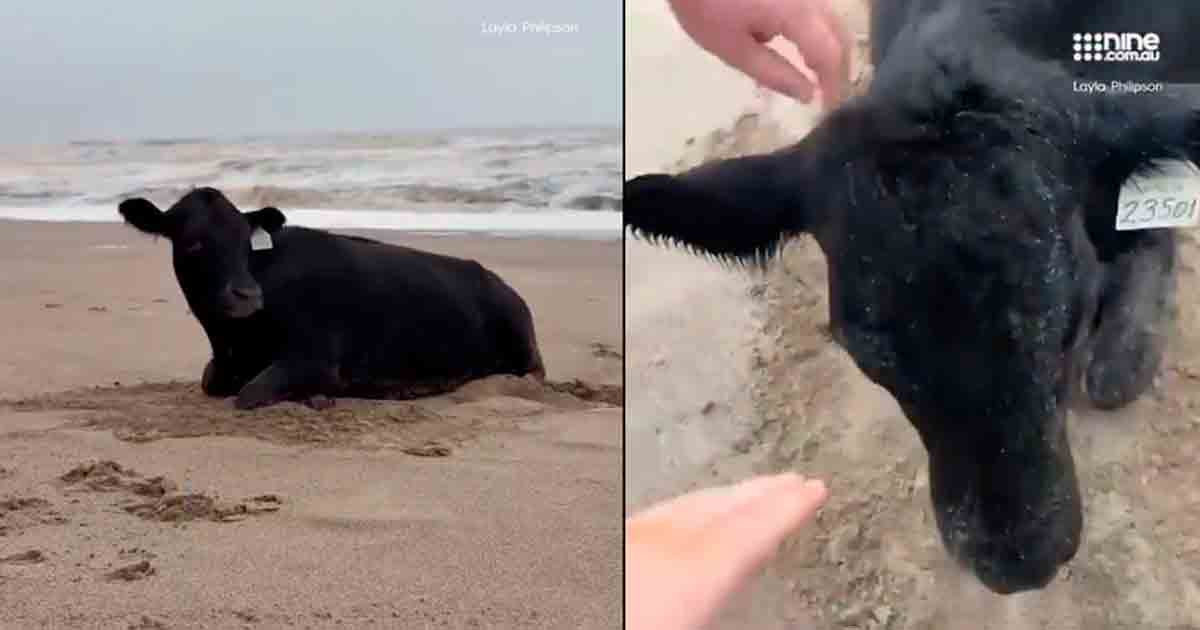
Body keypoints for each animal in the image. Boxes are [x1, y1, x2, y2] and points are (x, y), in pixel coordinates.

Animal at [119, 187, 546, 411]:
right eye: (192, 243)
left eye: (245, 241)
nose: (247, 294)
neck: (233, 340)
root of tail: (497, 280)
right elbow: (212, 381)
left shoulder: (317, 357)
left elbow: (248, 394)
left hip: (523, 349)